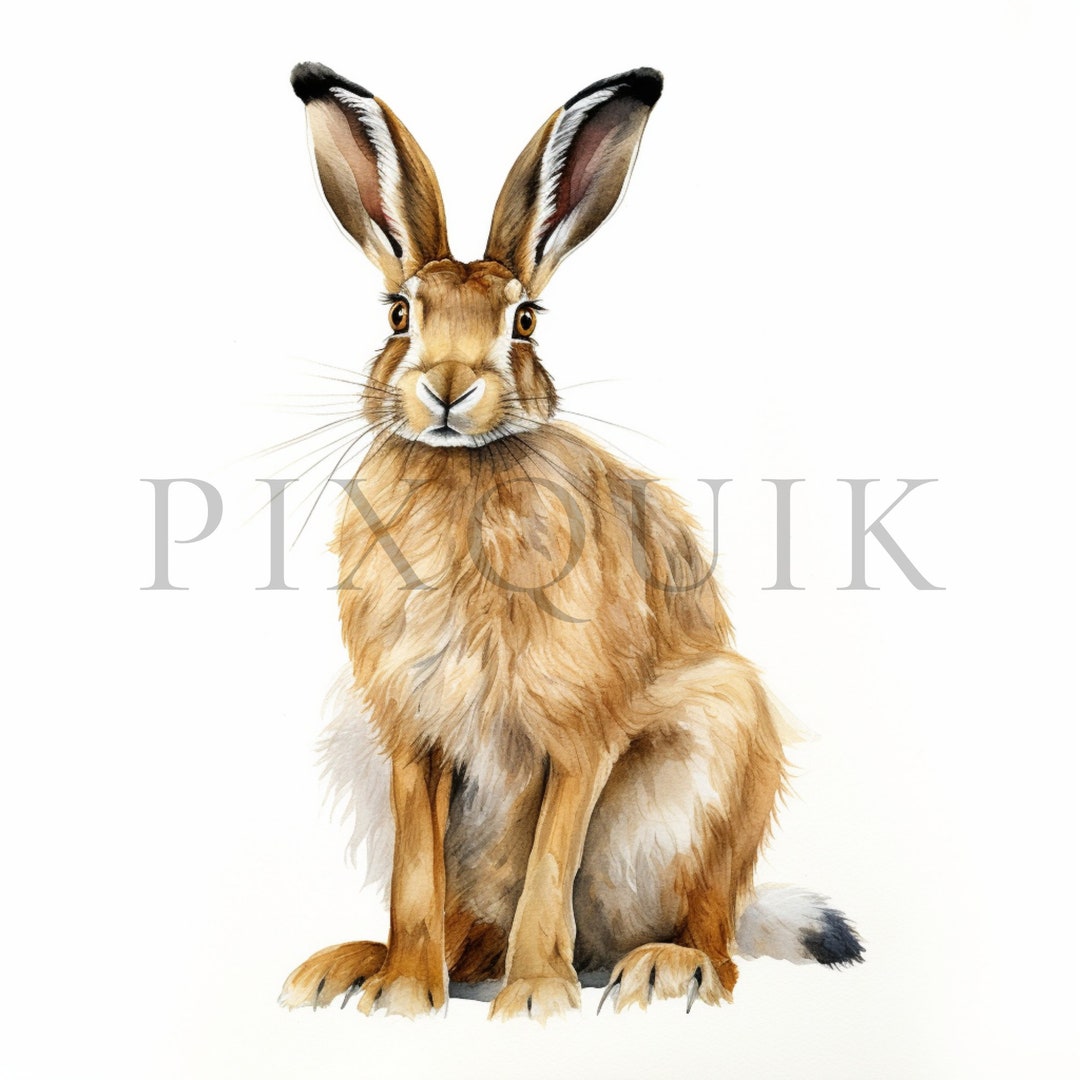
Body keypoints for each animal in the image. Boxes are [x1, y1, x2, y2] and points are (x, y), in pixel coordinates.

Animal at [278, 61, 863, 1022]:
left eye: (525, 321)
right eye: (400, 314)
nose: (447, 386)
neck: (465, 472)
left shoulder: (579, 736)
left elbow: (550, 865)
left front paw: (535, 1003)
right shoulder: (410, 741)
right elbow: (413, 877)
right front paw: (406, 997)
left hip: (722, 742)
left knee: (714, 932)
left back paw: (664, 970)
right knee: (464, 920)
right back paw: (352, 967)